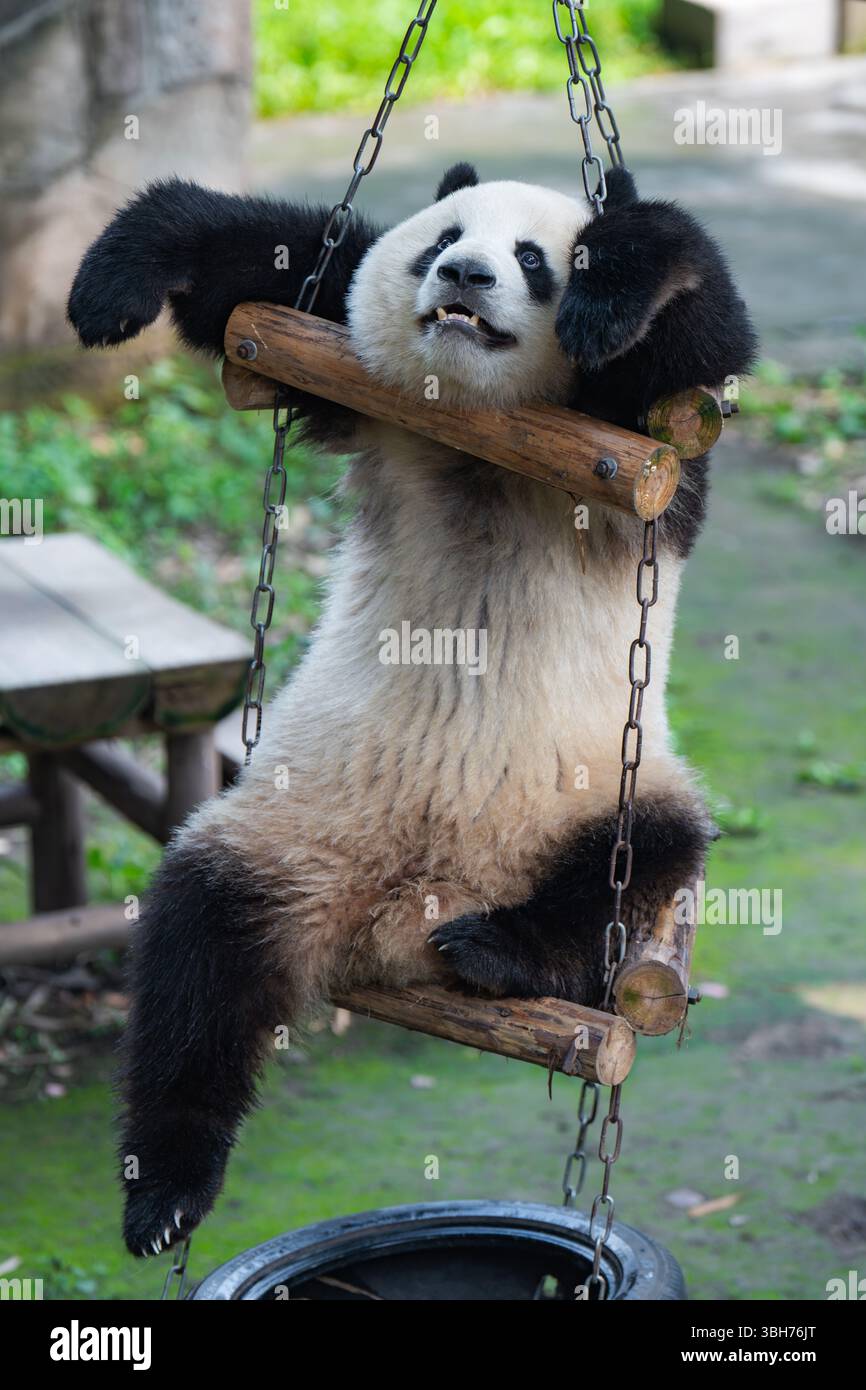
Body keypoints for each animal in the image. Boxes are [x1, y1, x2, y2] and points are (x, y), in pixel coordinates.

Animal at [68, 161, 756, 1256]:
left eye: (534, 259)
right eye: (444, 238)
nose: (467, 276)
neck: (483, 442)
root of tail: (403, 905)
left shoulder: (642, 466)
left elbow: (694, 351)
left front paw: (614, 288)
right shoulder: (359, 393)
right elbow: (276, 267)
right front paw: (112, 286)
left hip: (593, 784)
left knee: (645, 849)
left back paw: (497, 949)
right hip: (295, 832)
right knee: (200, 952)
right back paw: (165, 1189)